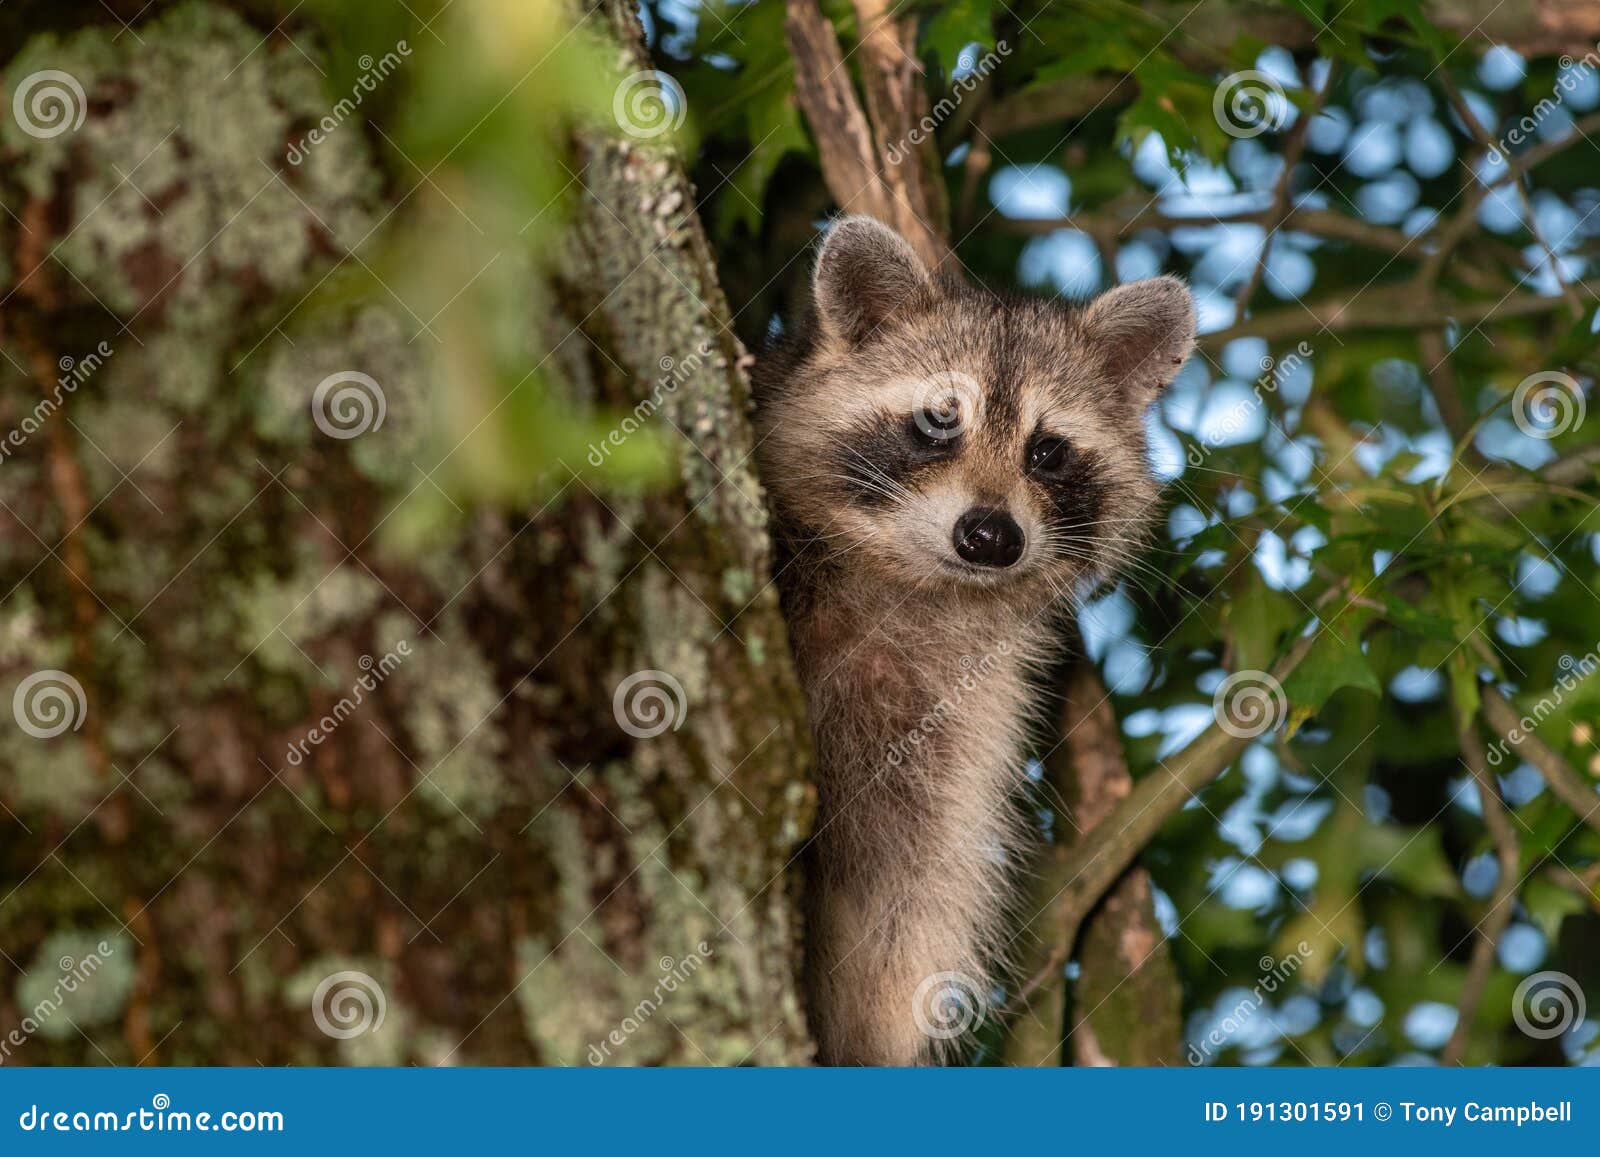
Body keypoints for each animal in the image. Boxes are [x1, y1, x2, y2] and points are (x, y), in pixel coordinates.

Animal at [752, 215, 1196, 1066]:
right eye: (938, 419)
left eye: (1048, 450)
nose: (991, 536)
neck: (917, 585)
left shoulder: (959, 716)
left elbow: (905, 907)